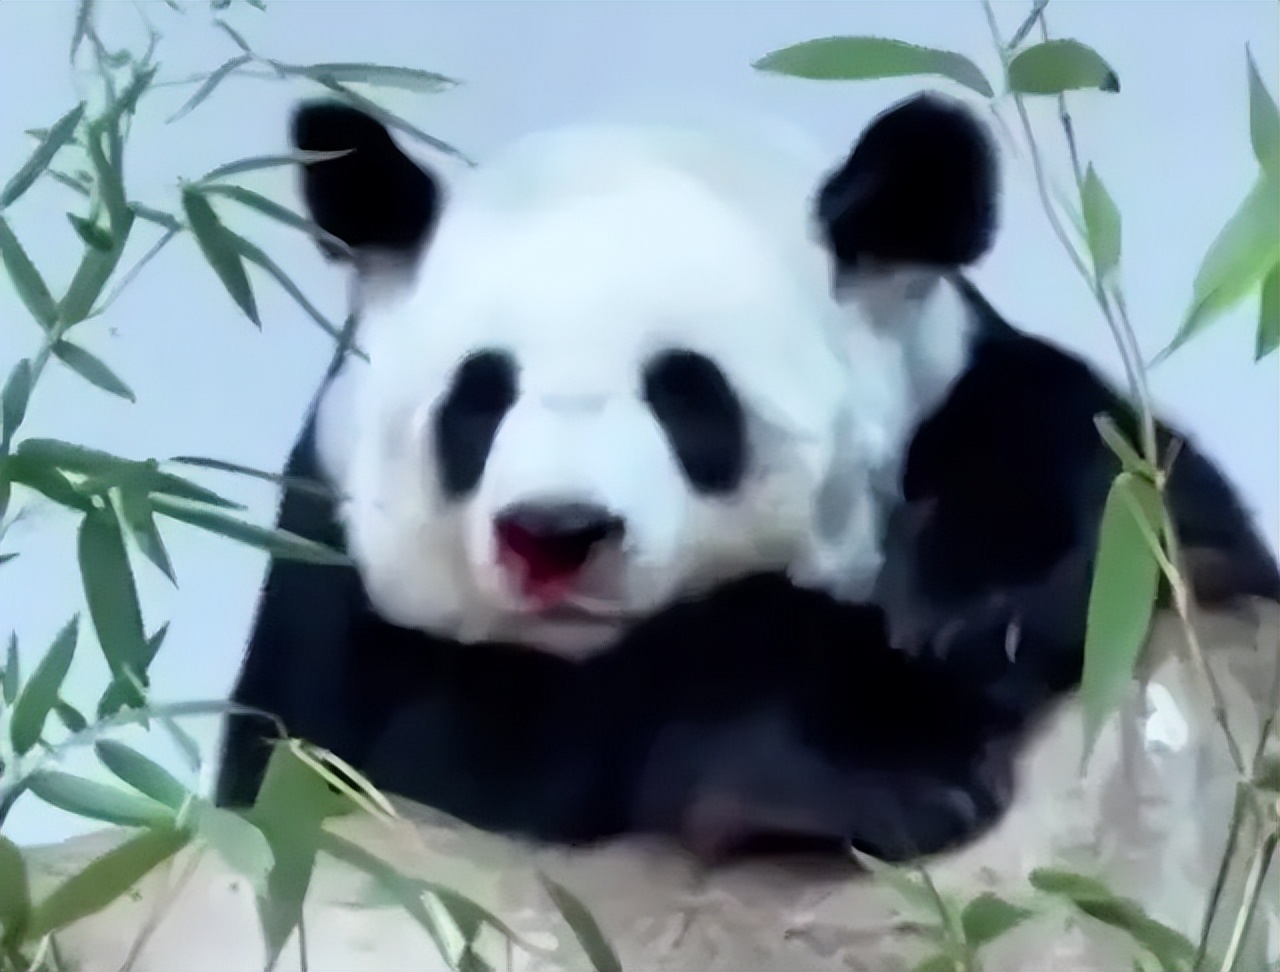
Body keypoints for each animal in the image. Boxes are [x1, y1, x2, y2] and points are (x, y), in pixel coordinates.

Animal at [214, 92, 1278, 866]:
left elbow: (1127, 497)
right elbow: (394, 749)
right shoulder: (329, 583)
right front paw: (891, 758)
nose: (553, 534)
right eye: (479, 399)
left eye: (688, 394)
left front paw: (991, 615)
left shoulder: (969, 389)